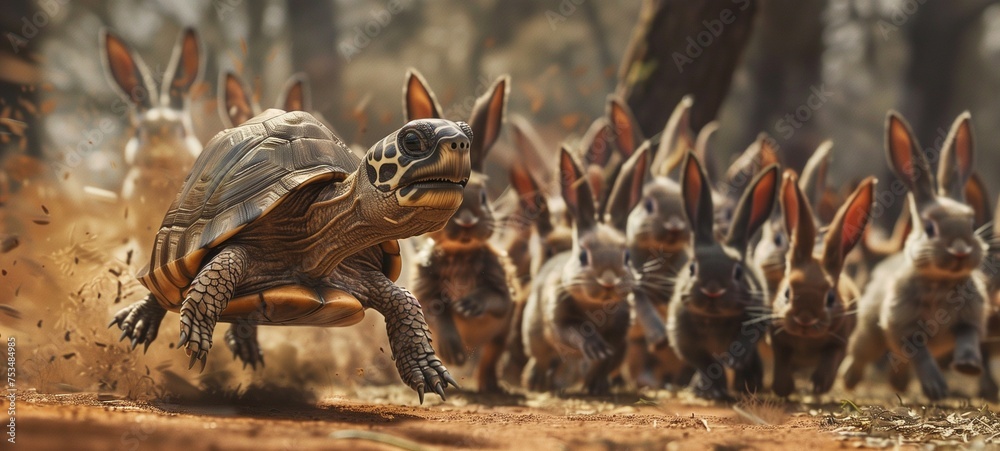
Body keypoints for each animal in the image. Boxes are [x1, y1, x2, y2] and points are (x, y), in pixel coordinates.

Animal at [404, 69, 515, 393]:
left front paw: (469, 304)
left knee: (489, 360)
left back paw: (492, 387)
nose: (466, 222)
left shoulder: (504, 288)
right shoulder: (425, 287)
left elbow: (497, 299)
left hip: (501, 339)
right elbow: (438, 314)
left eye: (484, 196)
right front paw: (454, 352)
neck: (460, 255)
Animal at [521, 146, 646, 395]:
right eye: (583, 256)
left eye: (627, 256)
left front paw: (596, 379)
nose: (609, 281)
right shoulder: (557, 318)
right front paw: (595, 347)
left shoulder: (620, 331)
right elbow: (573, 330)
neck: (595, 307)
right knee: (541, 360)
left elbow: (604, 361)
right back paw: (535, 383)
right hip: (534, 336)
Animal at [667, 151, 779, 401]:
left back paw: (748, 385)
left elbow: (743, 345)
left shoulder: (755, 320)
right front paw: (713, 390)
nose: (713, 290)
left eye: (738, 272)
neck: (714, 318)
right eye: (692, 268)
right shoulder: (685, 341)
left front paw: (734, 363)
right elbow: (705, 363)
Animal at [769, 170, 875, 397]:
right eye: (787, 293)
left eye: (830, 298)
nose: (805, 319)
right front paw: (783, 389)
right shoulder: (777, 338)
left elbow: (830, 359)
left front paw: (818, 386)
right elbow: (781, 362)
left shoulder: (840, 342)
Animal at [841, 111, 988, 401]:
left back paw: (898, 384)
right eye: (930, 228)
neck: (941, 282)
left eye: (971, 223)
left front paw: (968, 366)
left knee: (898, 364)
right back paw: (848, 380)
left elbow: (967, 339)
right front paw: (936, 388)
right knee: (861, 353)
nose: (961, 251)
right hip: (870, 332)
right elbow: (920, 354)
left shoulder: (969, 319)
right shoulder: (904, 326)